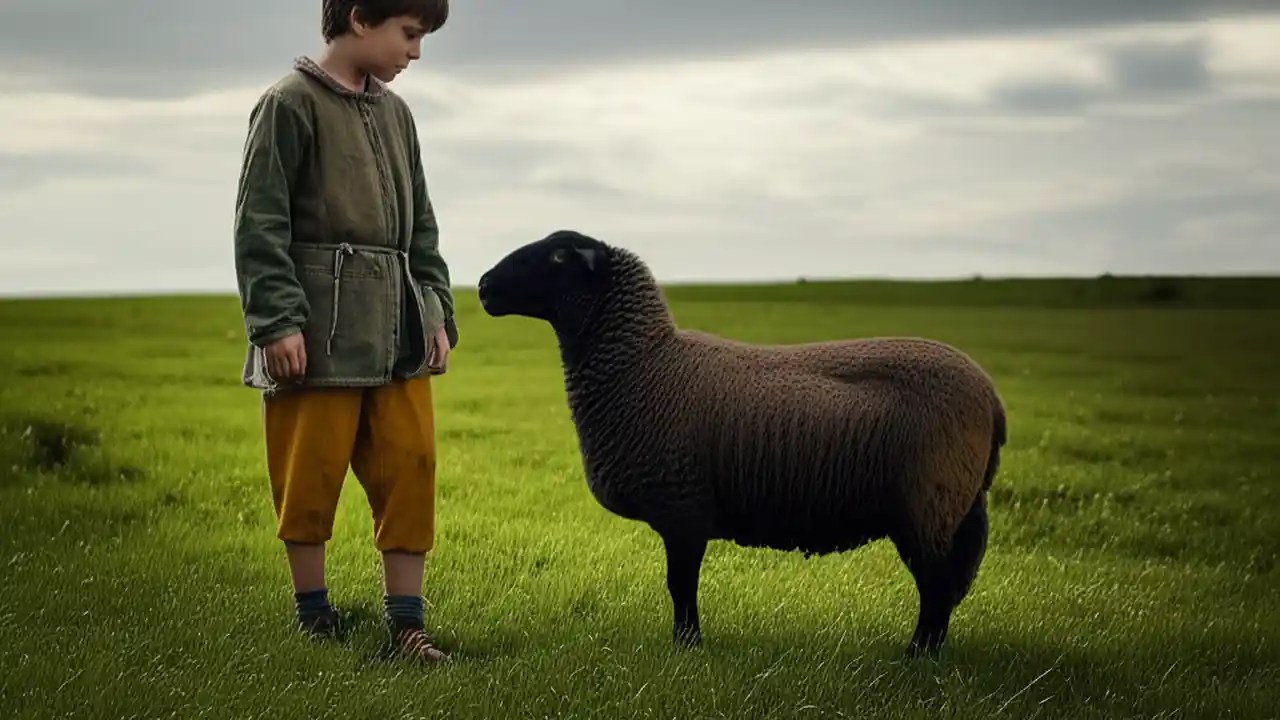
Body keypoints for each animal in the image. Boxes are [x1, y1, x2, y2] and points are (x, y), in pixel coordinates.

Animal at [477, 229, 1008, 657]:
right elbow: (681, 586)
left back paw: (916, 658)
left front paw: (687, 647)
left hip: (929, 504)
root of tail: (990, 395)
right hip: (953, 505)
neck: (647, 365)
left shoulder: (684, 508)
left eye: (559, 255)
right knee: (945, 588)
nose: (482, 286)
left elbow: (680, 586)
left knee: (935, 588)